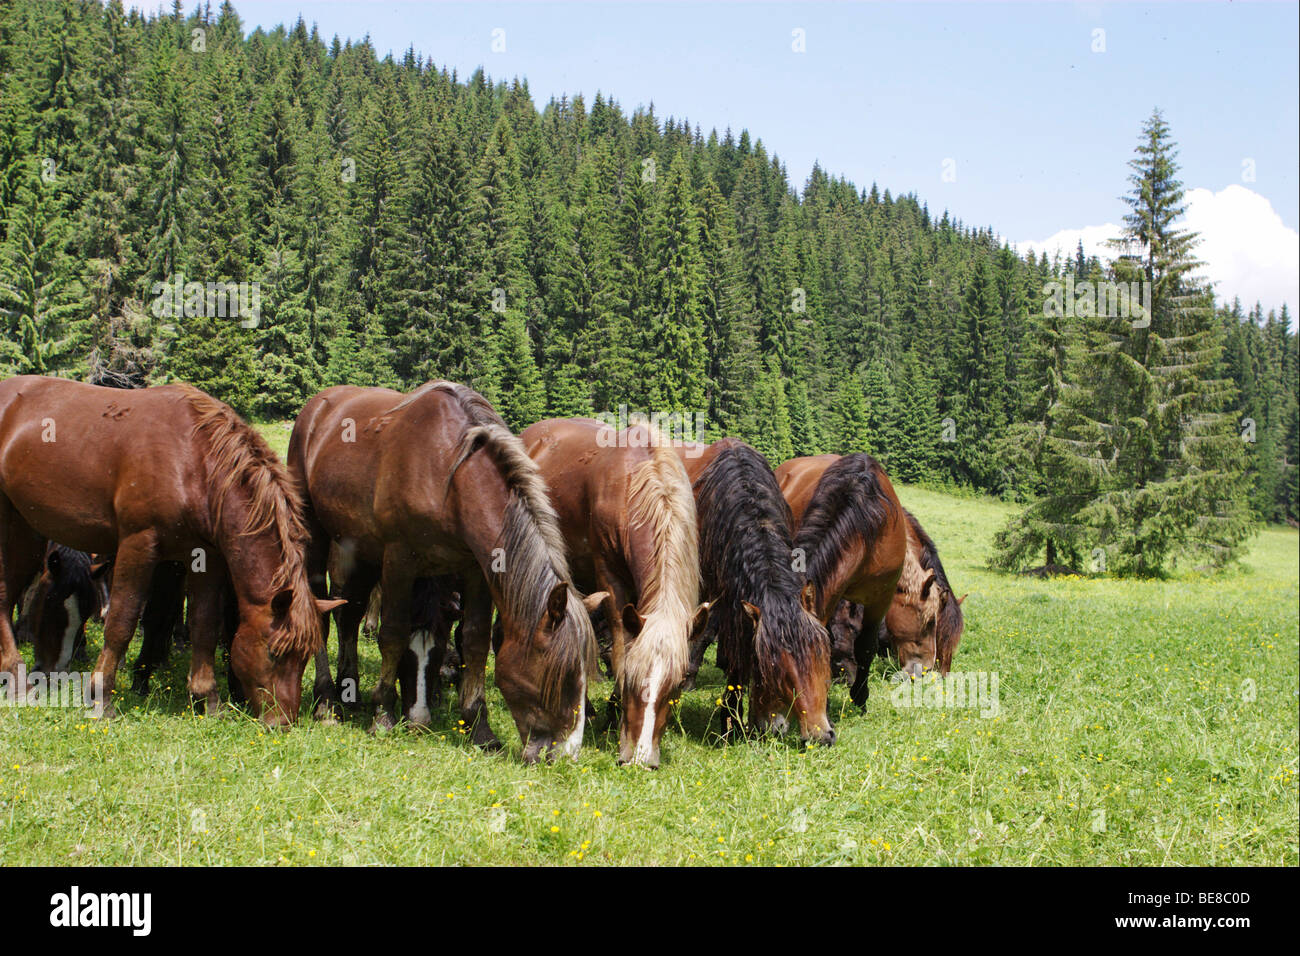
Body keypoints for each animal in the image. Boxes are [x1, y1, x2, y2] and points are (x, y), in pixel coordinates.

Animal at [0, 375, 339, 723]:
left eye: (304, 657)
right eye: (274, 652)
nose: (281, 723)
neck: (194, 462)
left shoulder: (206, 557)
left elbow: (204, 624)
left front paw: (209, 699)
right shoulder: (138, 545)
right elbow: (122, 622)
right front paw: (101, 697)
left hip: (26, 528)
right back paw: (16, 676)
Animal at [288, 382, 604, 763]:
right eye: (564, 676)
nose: (564, 755)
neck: (449, 479)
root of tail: (317, 407)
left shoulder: (476, 569)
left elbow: (475, 641)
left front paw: (480, 728)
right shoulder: (399, 559)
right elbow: (393, 633)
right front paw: (384, 715)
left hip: (356, 547)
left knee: (349, 614)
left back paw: (349, 691)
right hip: (317, 533)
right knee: (322, 612)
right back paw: (327, 703)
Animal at [521, 418, 709, 768]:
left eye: (676, 685)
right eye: (632, 679)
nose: (640, 758)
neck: (634, 482)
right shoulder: (610, 581)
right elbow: (620, 649)